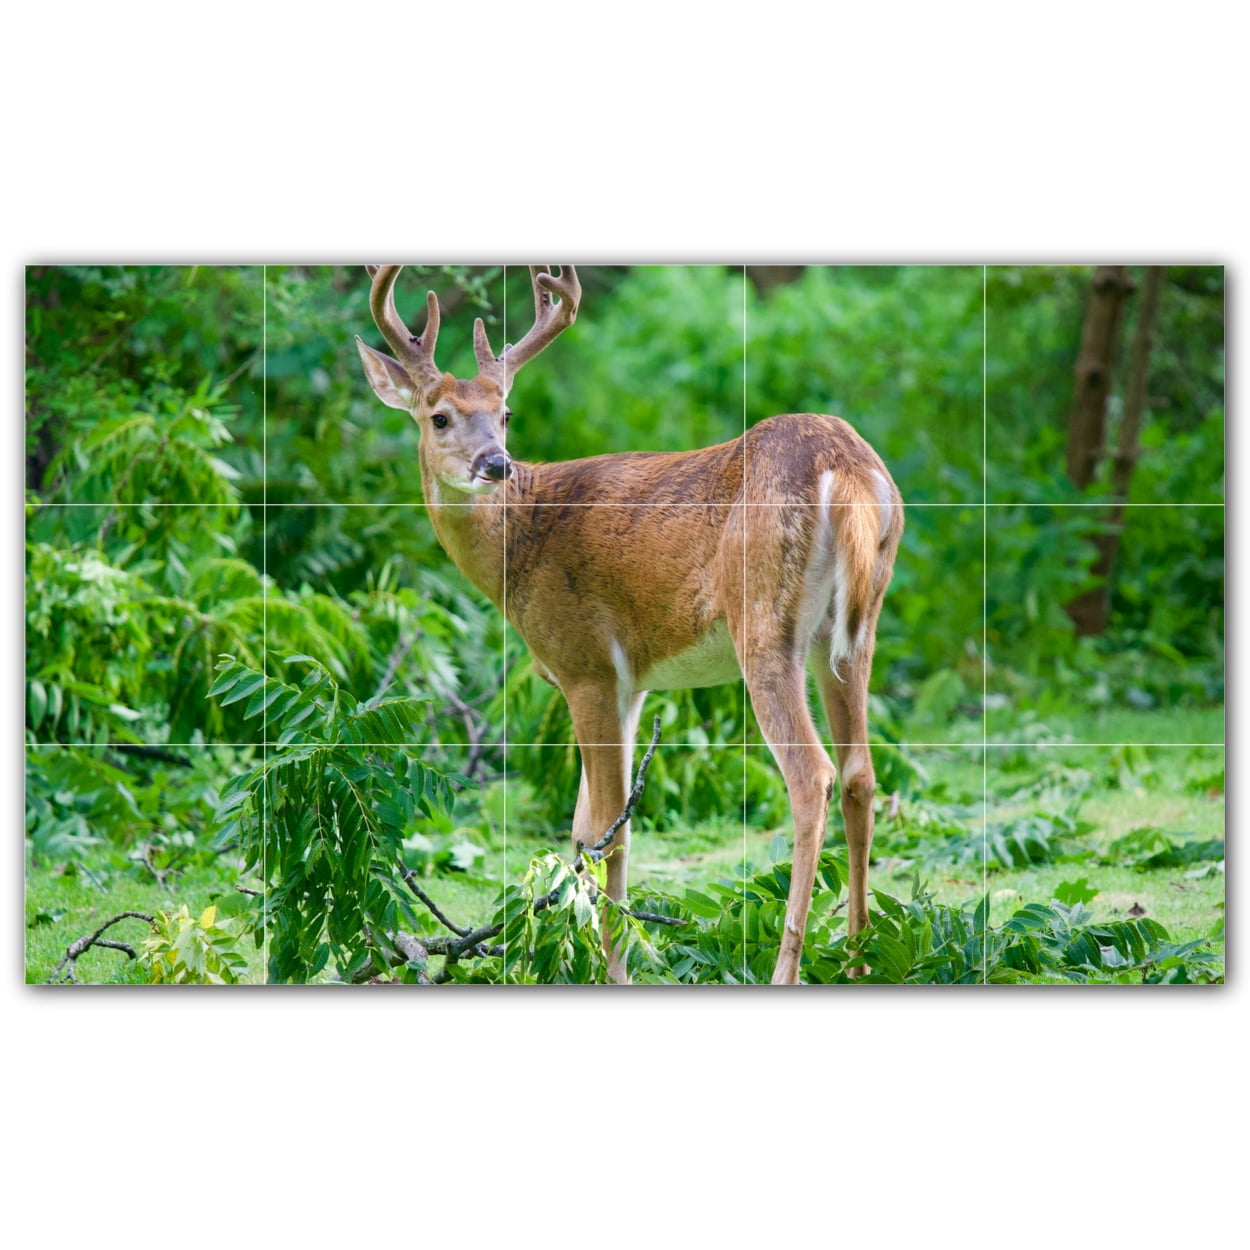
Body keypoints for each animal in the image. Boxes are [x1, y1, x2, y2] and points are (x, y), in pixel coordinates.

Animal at [356, 265, 903, 984]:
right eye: (439, 415)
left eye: (505, 414)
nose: (496, 464)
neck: (520, 542)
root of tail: (847, 469)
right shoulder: (633, 681)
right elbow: (587, 826)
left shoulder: (584, 663)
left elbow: (608, 828)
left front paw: (613, 967)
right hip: (851, 630)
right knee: (862, 773)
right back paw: (860, 959)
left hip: (763, 624)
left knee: (811, 776)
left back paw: (788, 968)